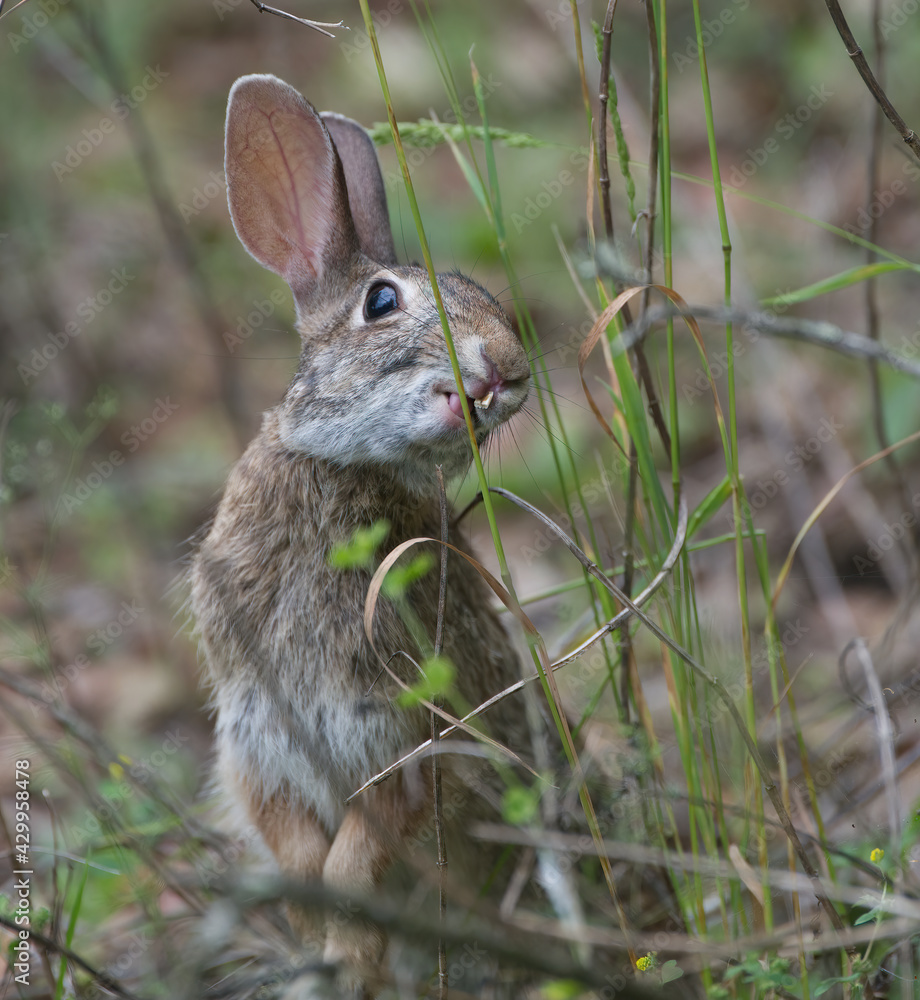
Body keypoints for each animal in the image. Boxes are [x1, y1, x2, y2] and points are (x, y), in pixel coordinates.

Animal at [190, 74, 546, 997]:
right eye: (382, 303)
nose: (509, 369)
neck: (345, 466)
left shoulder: (405, 737)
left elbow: (360, 855)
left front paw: (347, 949)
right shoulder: (259, 744)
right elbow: (296, 852)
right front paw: (327, 945)